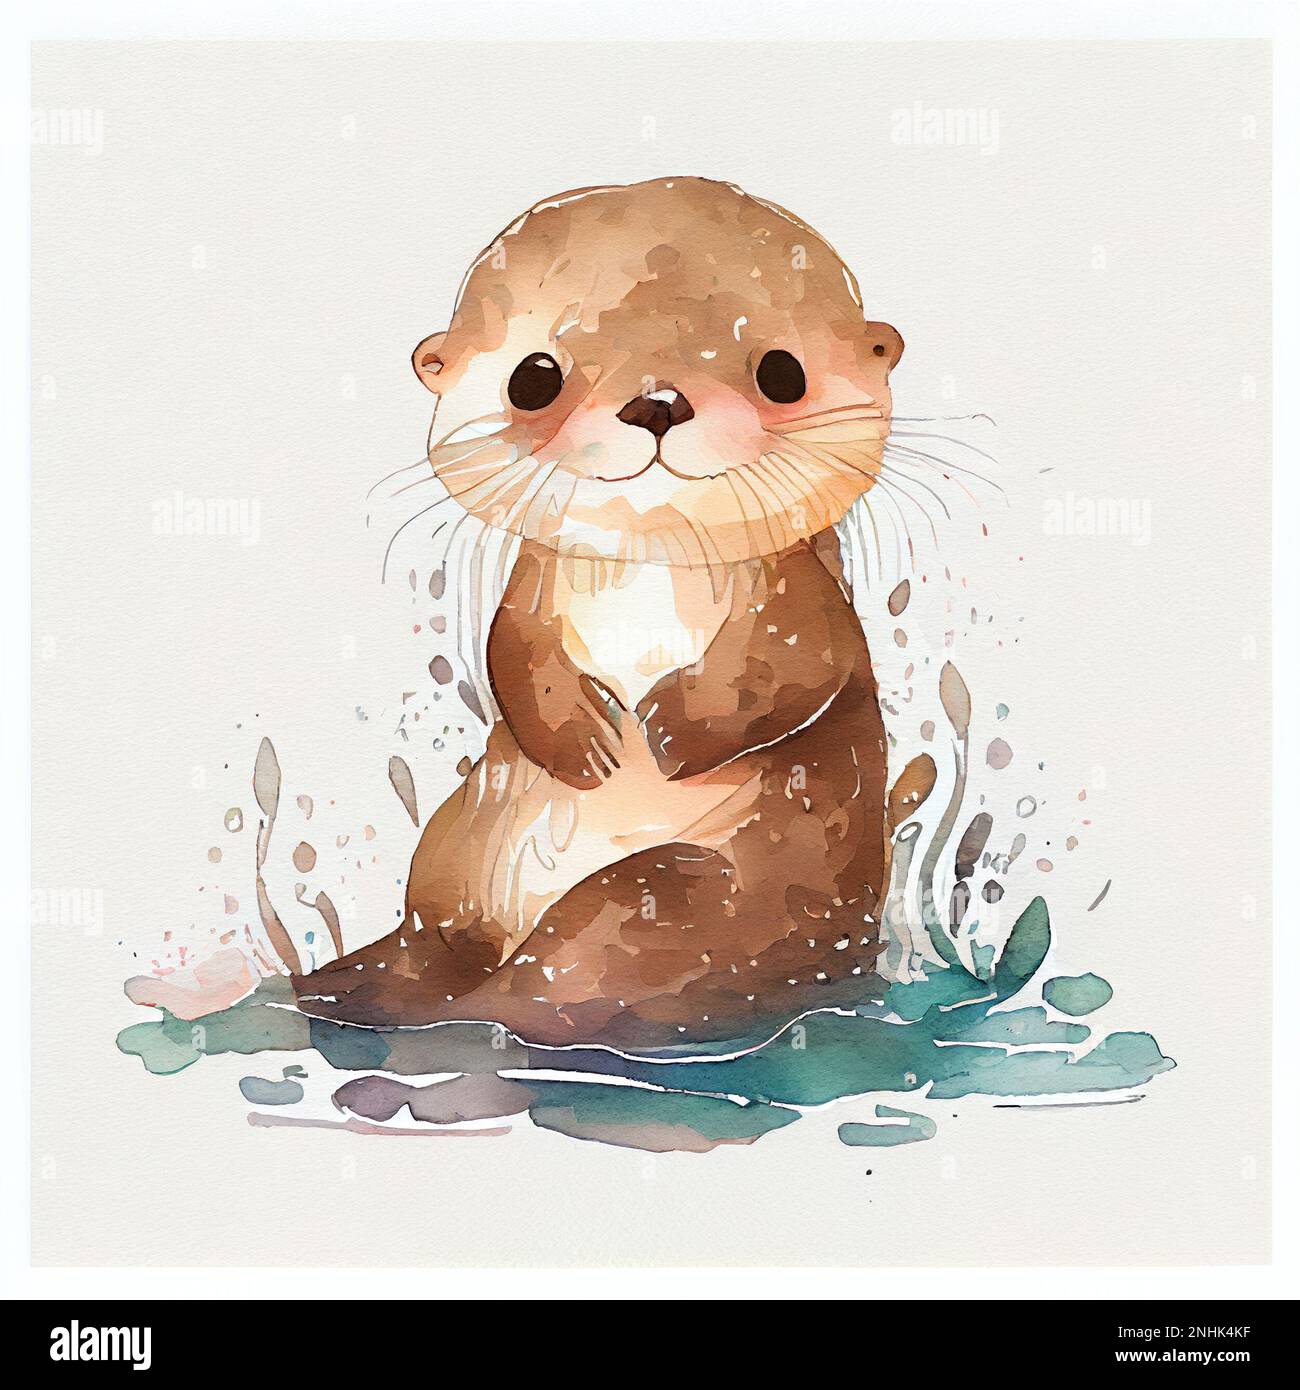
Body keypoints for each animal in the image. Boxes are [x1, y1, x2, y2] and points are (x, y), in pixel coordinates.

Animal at [293, 176, 904, 1050]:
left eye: (783, 374)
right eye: (533, 379)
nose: (656, 401)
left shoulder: (798, 597)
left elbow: (803, 665)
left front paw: (673, 737)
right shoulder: (531, 590)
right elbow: (511, 652)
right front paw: (582, 743)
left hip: (680, 897)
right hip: (456, 850)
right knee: (442, 952)